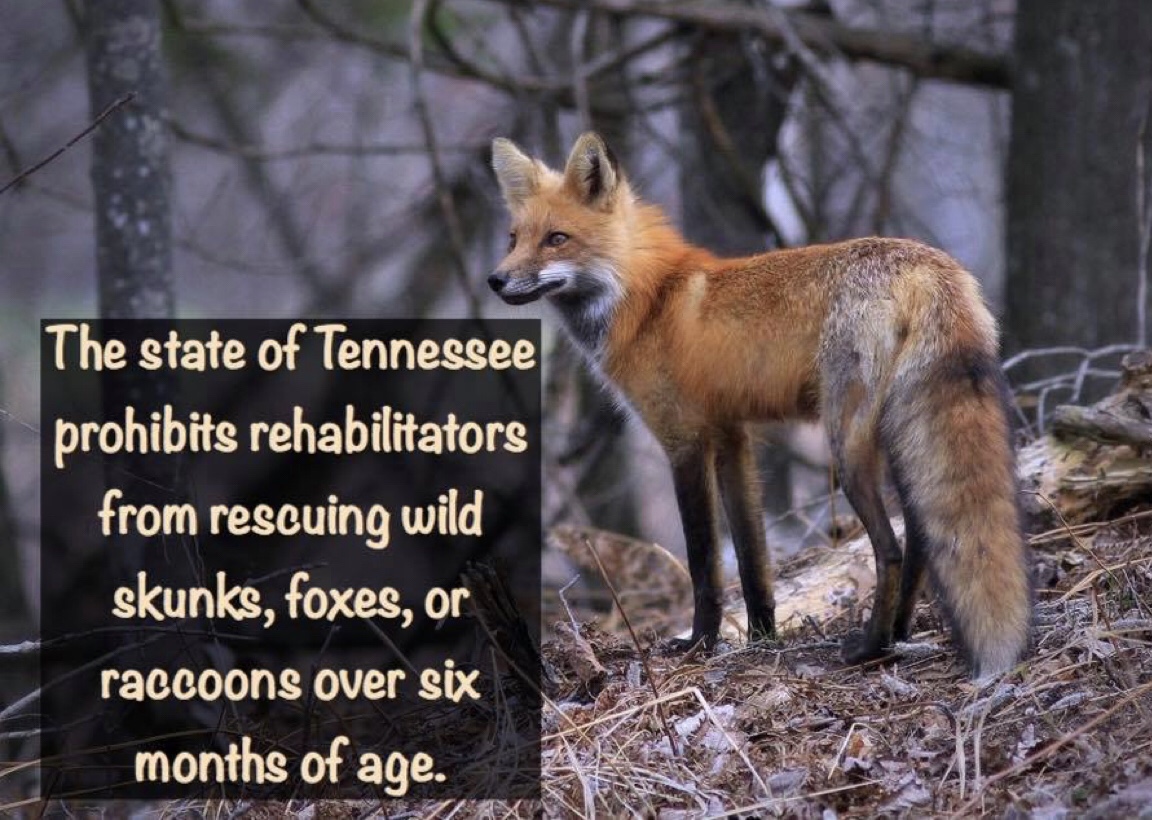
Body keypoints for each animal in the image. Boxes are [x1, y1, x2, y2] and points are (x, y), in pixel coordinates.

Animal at [487, 132, 1032, 678]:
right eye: (513, 239)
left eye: (556, 238)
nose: (495, 280)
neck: (647, 300)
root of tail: (926, 264)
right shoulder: (732, 436)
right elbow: (752, 560)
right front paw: (761, 639)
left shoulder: (683, 440)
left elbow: (703, 560)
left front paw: (699, 645)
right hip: (901, 435)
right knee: (923, 538)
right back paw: (899, 632)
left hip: (847, 442)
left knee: (891, 547)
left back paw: (870, 647)